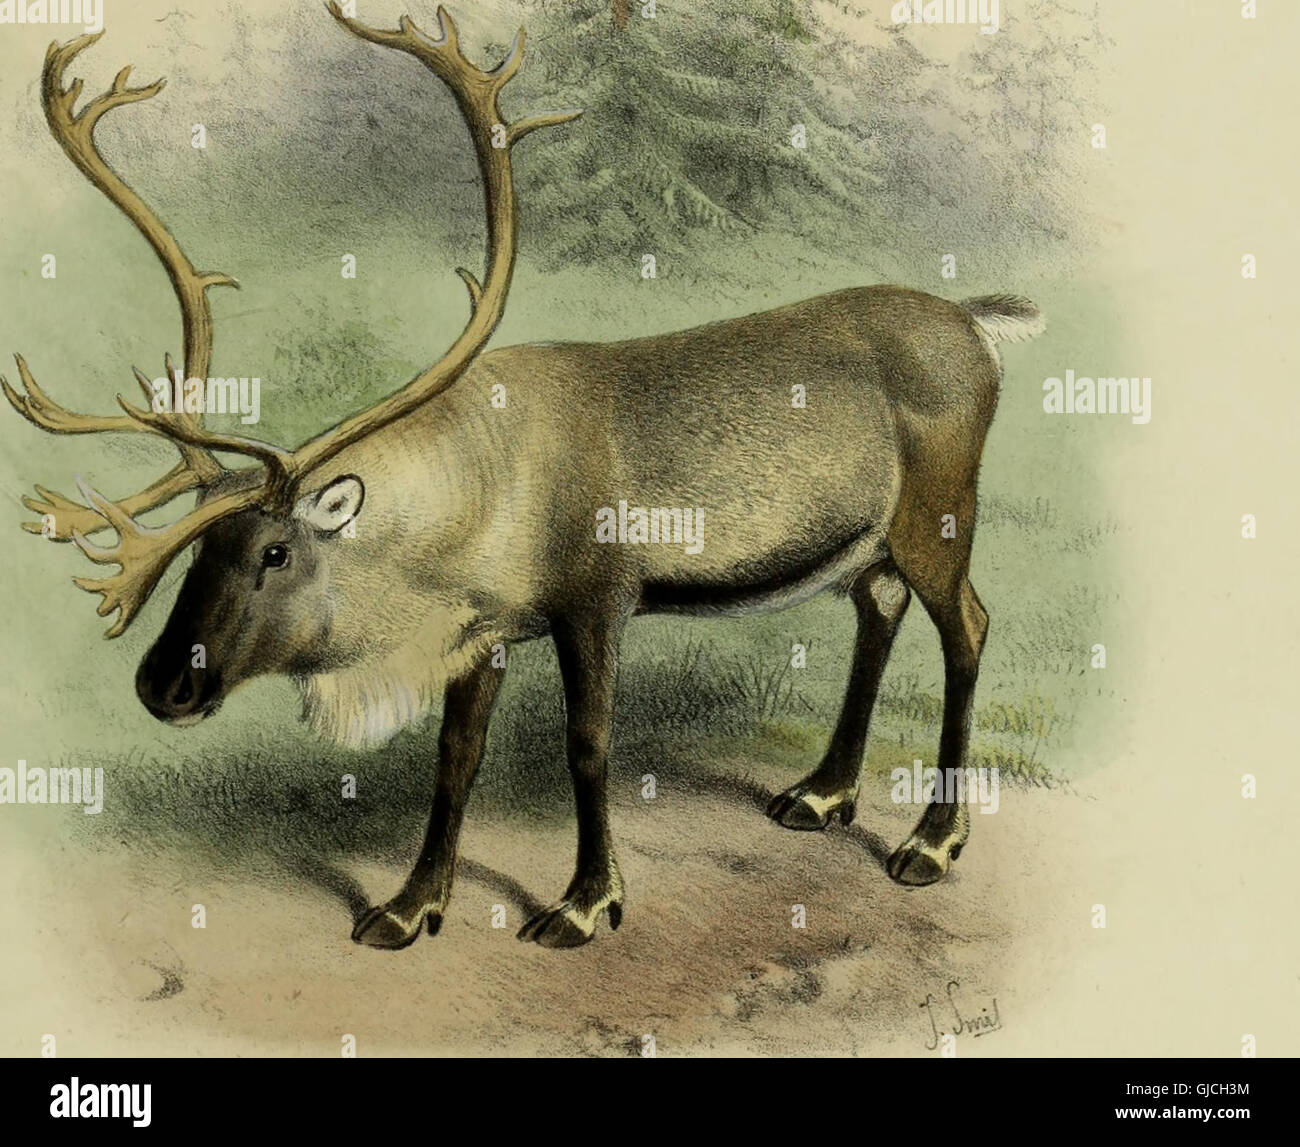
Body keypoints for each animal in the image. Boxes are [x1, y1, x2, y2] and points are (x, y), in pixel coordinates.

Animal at [5, 6, 1044, 951]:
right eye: (198, 550)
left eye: (275, 551)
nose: (162, 684)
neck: (464, 529)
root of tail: (977, 321)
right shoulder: (486, 629)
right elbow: (455, 756)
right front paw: (408, 905)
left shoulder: (597, 594)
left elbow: (588, 746)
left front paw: (585, 902)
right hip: (871, 540)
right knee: (879, 611)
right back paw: (822, 793)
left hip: (941, 514)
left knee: (971, 626)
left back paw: (931, 841)